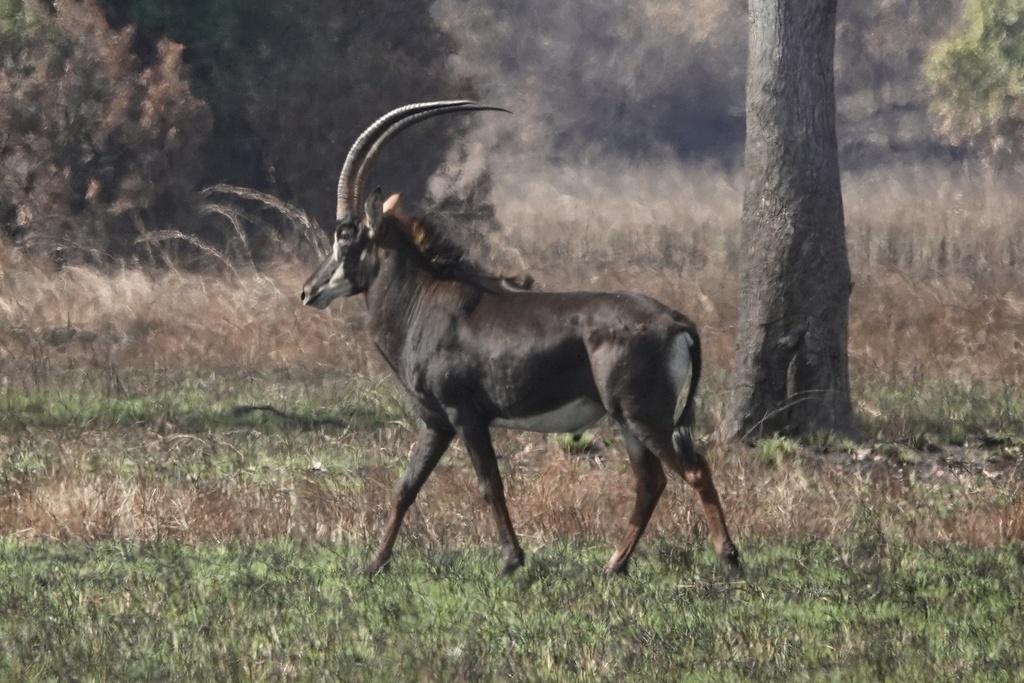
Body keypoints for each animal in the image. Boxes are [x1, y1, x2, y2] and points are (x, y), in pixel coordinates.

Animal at [301, 101, 741, 577]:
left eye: (346, 236)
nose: (308, 291)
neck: (424, 300)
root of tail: (677, 321)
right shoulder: (435, 420)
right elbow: (406, 486)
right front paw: (374, 563)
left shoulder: (463, 414)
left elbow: (489, 484)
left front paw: (511, 561)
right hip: (626, 420)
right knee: (651, 481)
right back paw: (614, 565)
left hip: (644, 416)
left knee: (694, 471)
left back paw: (729, 559)